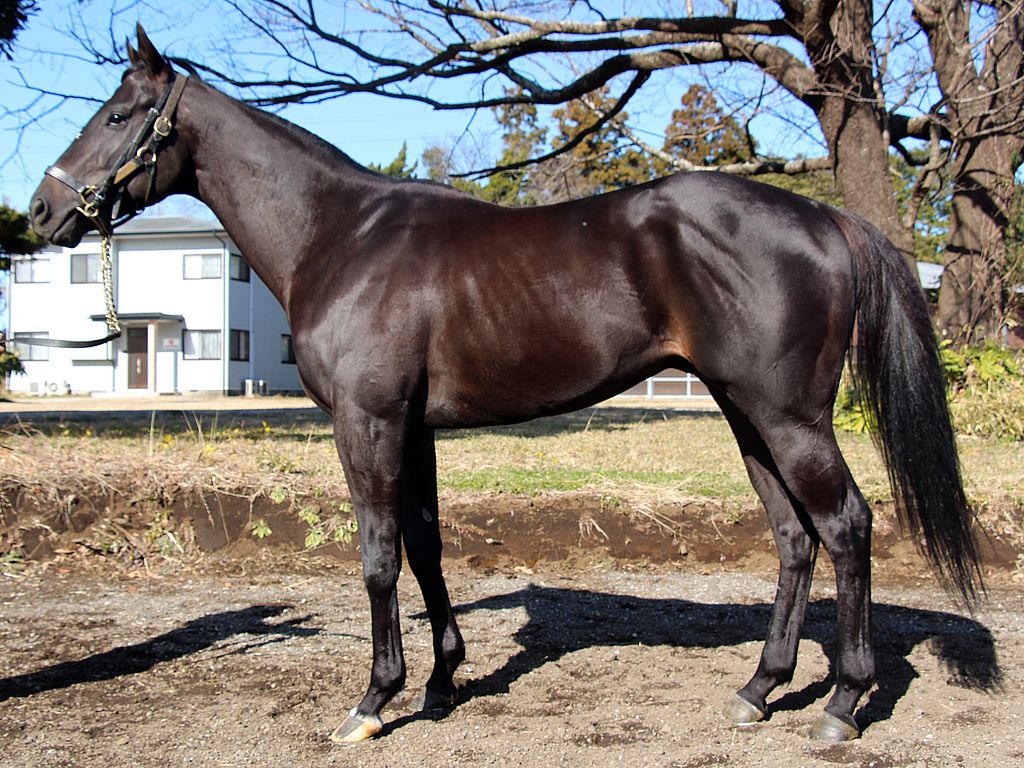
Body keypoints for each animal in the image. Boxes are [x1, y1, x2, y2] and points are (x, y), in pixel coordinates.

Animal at [30, 26, 981, 744]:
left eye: (118, 114)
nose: (42, 213)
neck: (342, 235)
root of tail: (826, 216)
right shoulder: (412, 428)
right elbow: (424, 546)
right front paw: (443, 679)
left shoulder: (368, 423)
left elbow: (378, 556)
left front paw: (375, 700)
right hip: (747, 414)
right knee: (794, 537)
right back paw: (757, 690)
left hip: (789, 417)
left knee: (846, 526)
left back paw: (842, 704)